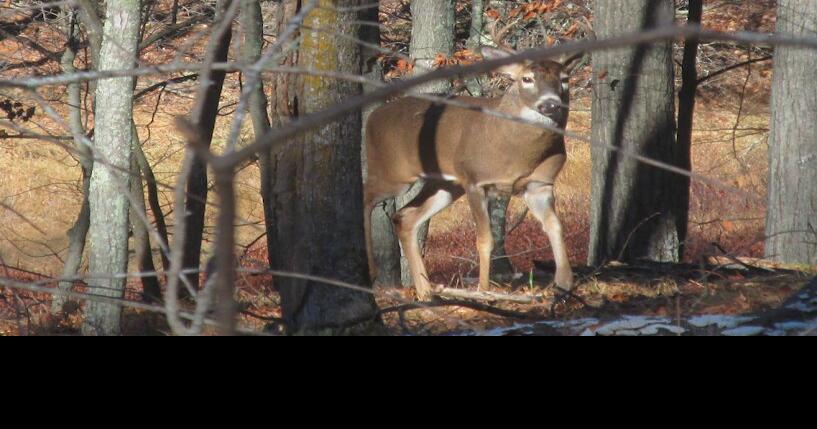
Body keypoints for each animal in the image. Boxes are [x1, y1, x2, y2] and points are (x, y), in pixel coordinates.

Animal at [363, 37, 584, 301]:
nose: (550, 104)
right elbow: (485, 240)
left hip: (445, 185)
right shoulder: (475, 180)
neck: (518, 153)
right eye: (527, 78)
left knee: (404, 216)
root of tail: (373, 117)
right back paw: (373, 270)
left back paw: (426, 292)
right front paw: (484, 290)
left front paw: (564, 285)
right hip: (392, 171)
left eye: (565, 79)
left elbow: (555, 227)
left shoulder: (539, 185)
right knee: (365, 196)